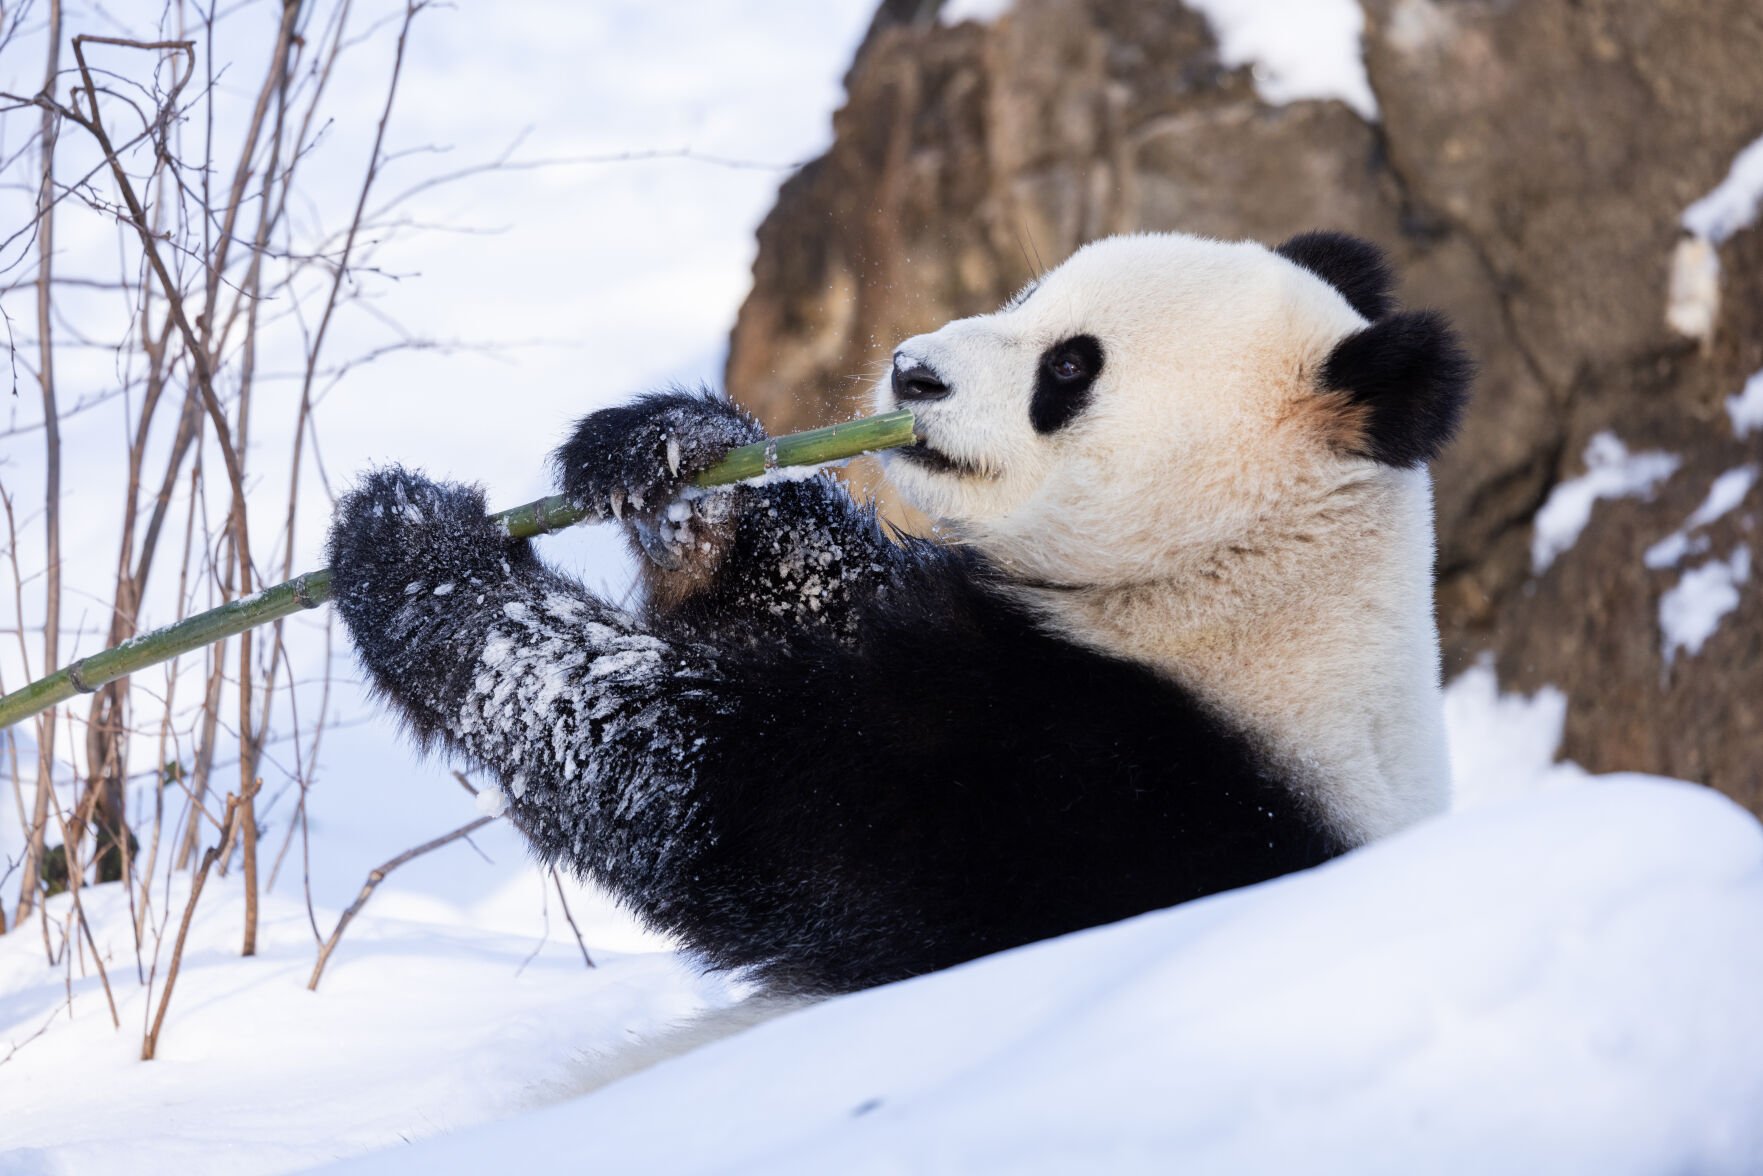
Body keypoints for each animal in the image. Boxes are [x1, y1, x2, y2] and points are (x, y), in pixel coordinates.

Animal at [327, 230, 1472, 998]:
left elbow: (739, 800)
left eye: (1070, 366)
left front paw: (414, 550)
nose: (911, 371)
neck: (1233, 569)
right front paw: (674, 463)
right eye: (1024, 293)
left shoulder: (1110, 790)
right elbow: (829, 583)